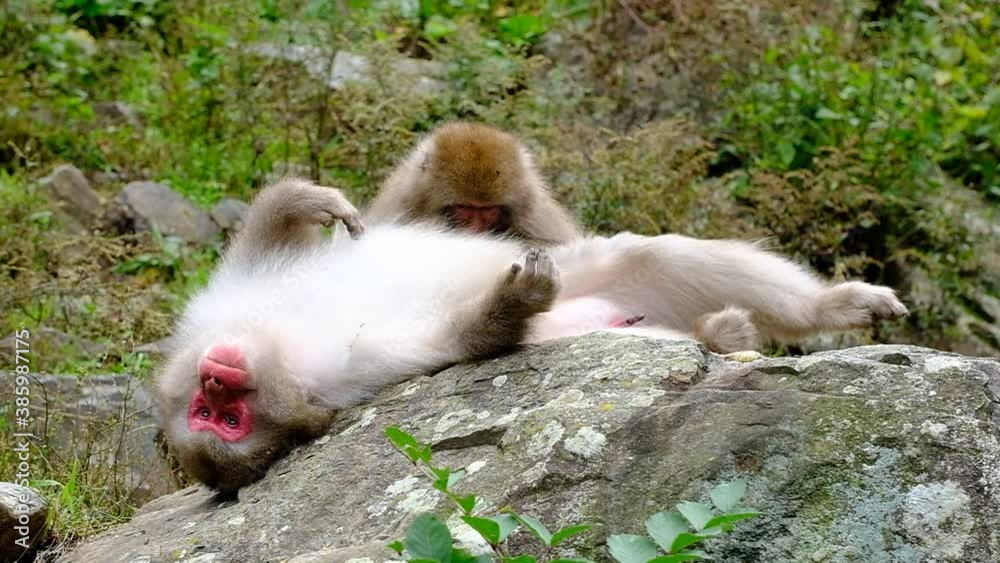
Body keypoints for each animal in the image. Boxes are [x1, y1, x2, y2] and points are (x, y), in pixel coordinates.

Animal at [157, 178, 907, 494]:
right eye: (219, 419)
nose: (218, 376)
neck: (281, 341)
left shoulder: (215, 310)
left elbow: (267, 233)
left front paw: (312, 200)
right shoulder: (361, 370)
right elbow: (460, 342)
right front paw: (513, 303)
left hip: (609, 269)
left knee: (656, 255)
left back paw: (832, 305)